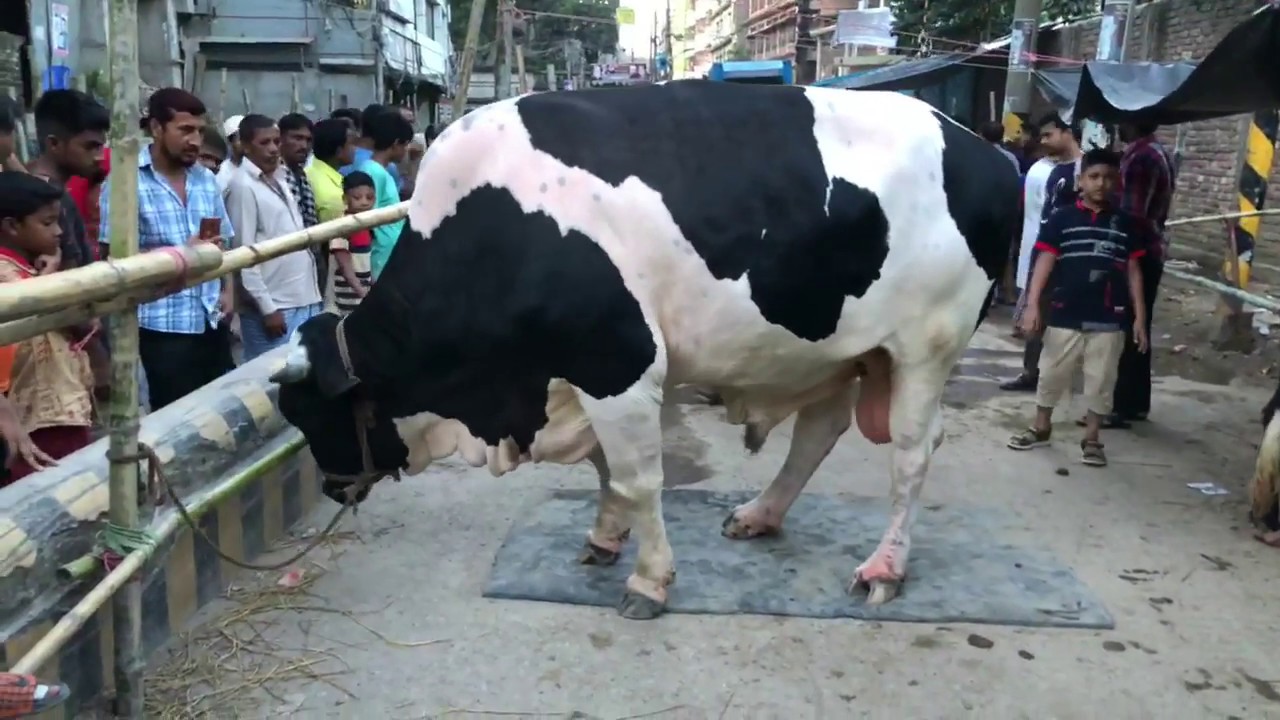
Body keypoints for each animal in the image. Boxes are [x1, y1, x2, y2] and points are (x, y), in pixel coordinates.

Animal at [270, 80, 1020, 620]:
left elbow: (636, 479)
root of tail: (986, 149)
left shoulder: (617, 363)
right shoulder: (584, 377)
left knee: (911, 455)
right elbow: (607, 473)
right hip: (842, 346)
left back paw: (883, 568)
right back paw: (761, 514)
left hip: (926, 344)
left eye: (312, 416)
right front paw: (605, 540)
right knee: (819, 430)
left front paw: (649, 581)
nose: (334, 485)